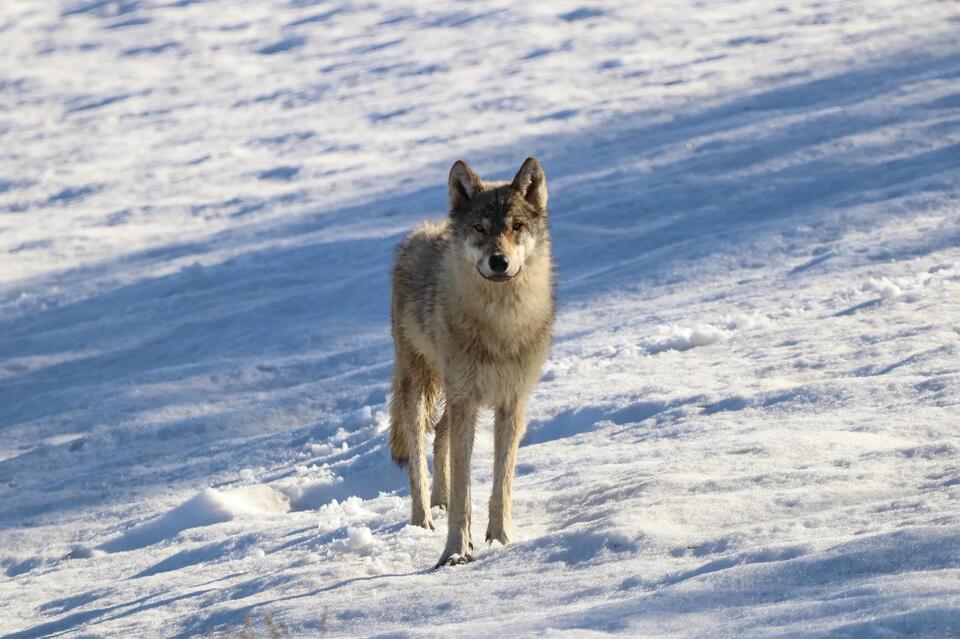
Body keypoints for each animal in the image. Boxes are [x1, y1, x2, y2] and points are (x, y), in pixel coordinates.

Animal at [389, 157, 554, 568]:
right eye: (479, 228)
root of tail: (425, 229)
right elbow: (465, 491)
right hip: (422, 387)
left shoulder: (511, 404)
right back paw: (424, 520)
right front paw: (454, 551)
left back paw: (441, 502)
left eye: (515, 226)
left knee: (439, 437)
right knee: (418, 455)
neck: (500, 325)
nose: (499, 261)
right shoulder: (467, 401)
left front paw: (501, 540)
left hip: (455, 397)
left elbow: (501, 484)